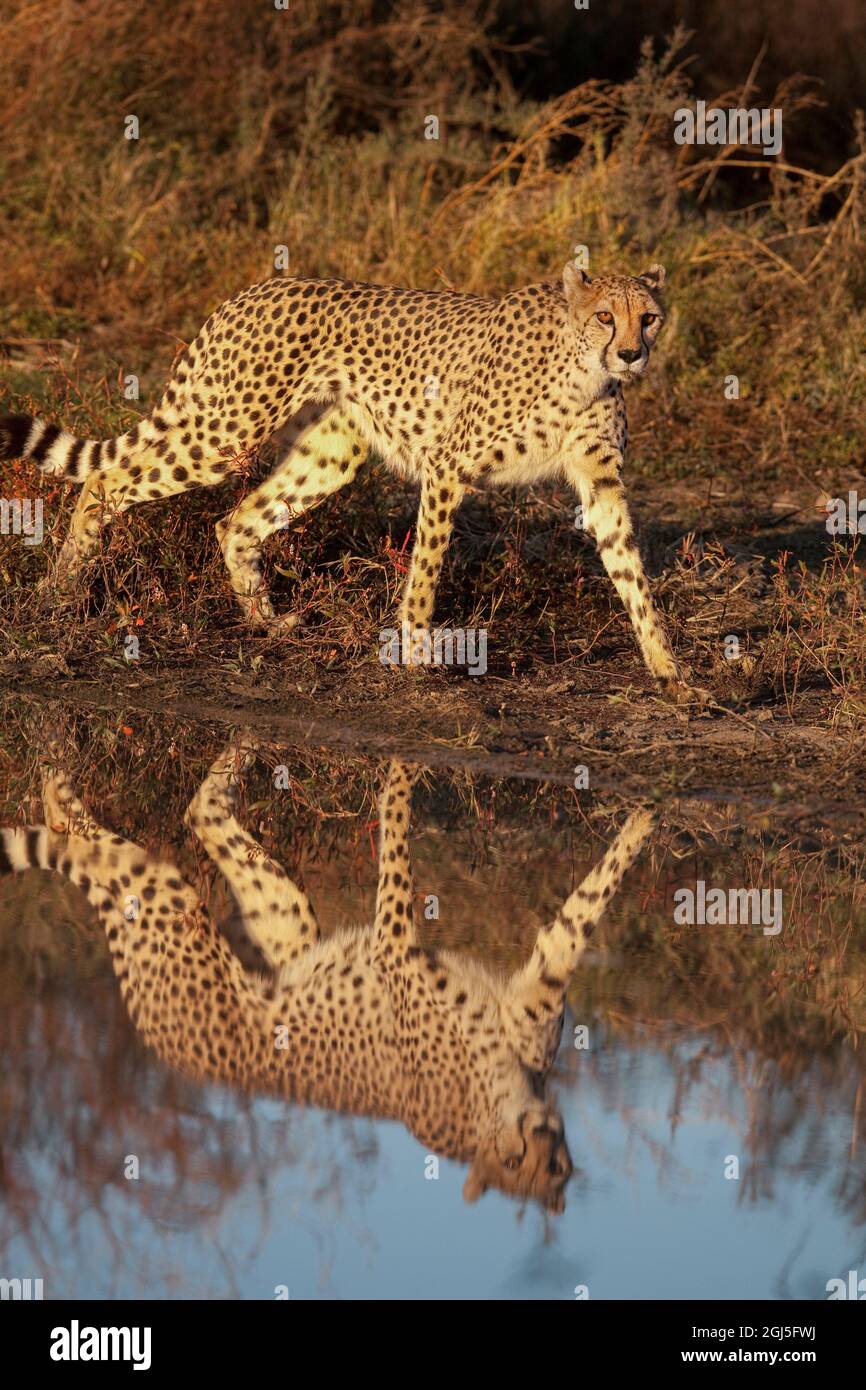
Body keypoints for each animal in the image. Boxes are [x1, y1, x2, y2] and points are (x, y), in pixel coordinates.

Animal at [0, 259, 698, 700]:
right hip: (223, 429)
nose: (632, 353)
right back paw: (60, 591)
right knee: (105, 482)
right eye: (605, 316)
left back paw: (265, 622)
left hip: (332, 451)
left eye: (649, 317)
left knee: (235, 519)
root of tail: (248, 292)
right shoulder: (447, 466)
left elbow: (631, 573)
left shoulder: (601, 485)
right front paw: (414, 654)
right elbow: (426, 568)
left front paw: (669, 672)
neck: (583, 368)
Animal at [0, 737, 655, 1213]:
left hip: (285, 915)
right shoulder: (395, 946)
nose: (540, 1142)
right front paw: (402, 770)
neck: (497, 1102)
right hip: (171, 901)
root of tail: (155, 1035)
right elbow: (396, 832)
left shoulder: (534, 993)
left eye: (554, 1168)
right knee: (105, 847)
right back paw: (59, 794)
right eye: (515, 1165)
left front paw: (645, 818)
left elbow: (582, 911)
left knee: (197, 814)